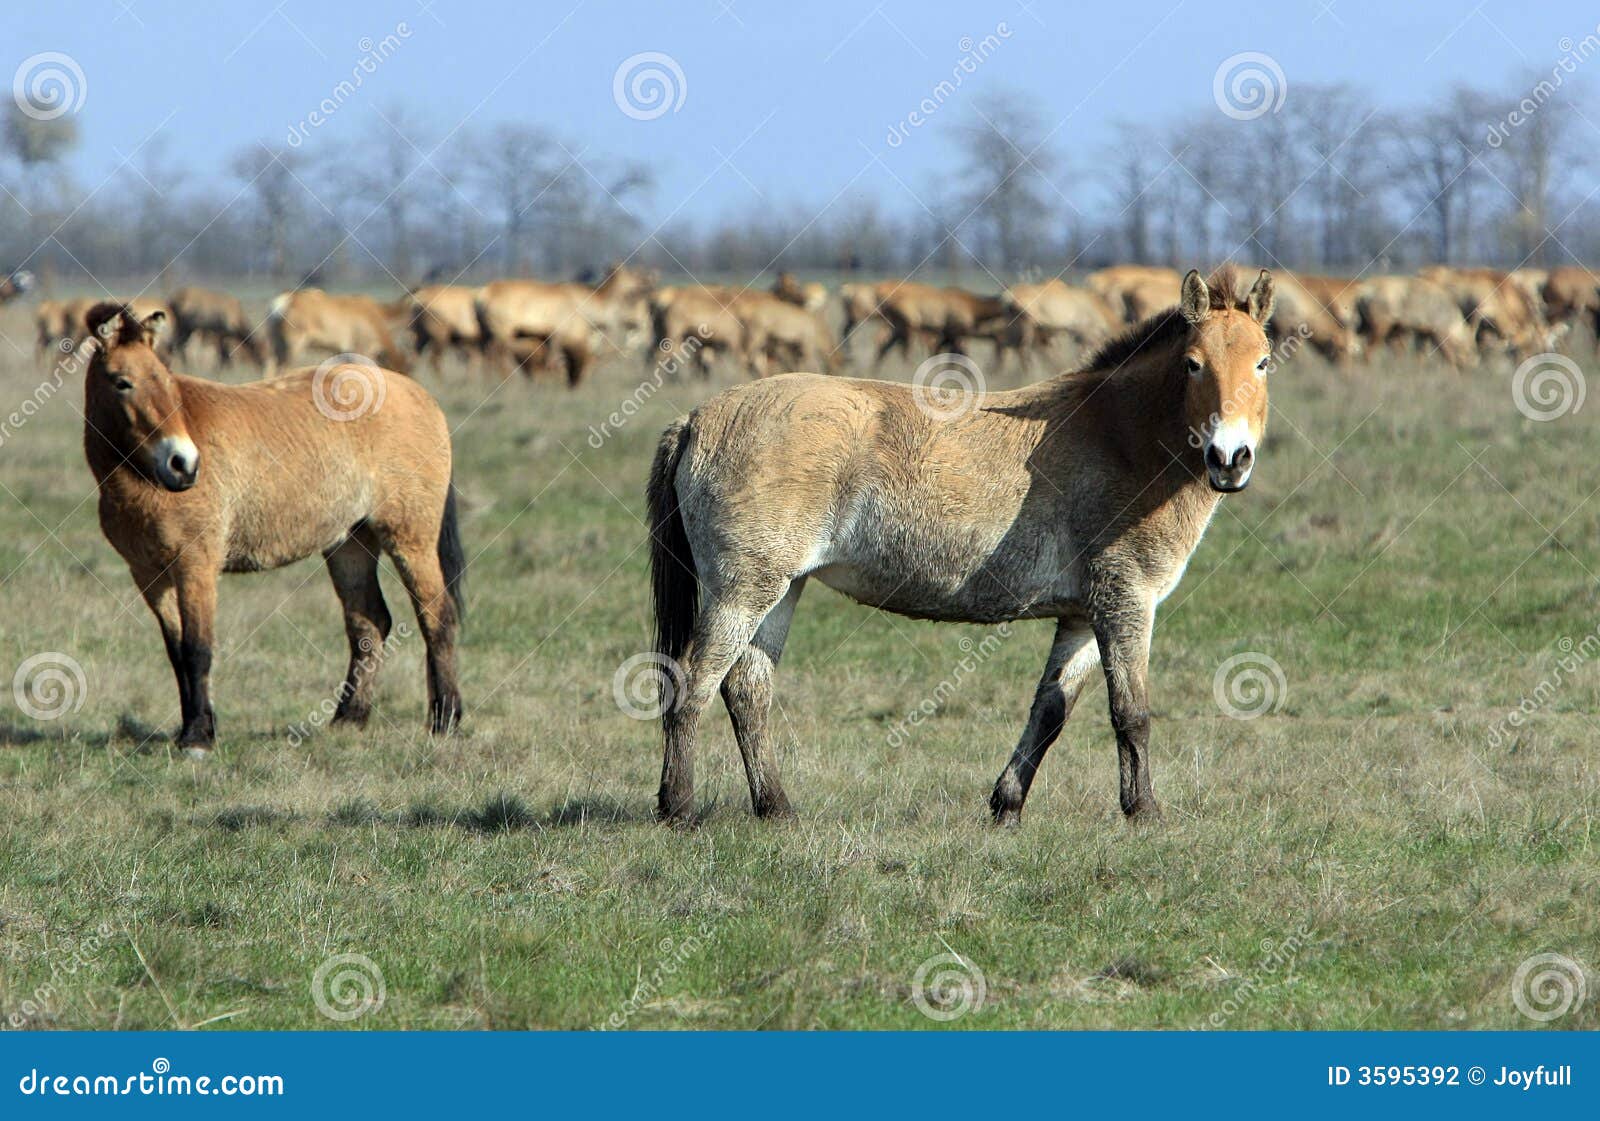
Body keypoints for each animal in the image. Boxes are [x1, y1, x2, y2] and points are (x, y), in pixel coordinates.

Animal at [81, 302, 465, 753]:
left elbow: (197, 648)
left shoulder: (197, 565)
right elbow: (176, 652)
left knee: (436, 616)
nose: (183, 464)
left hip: (410, 539)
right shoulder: (149, 575)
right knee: (369, 623)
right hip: (351, 543)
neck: (143, 479)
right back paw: (348, 719)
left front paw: (198, 738)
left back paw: (445, 719)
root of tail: (421, 396)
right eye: (122, 382)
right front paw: (192, 727)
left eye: (166, 377)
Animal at [645, 266, 1276, 825]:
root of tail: (697, 419)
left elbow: (1051, 711)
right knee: (692, 687)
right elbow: (1131, 711)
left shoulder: (1081, 615)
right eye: (1193, 364)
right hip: (743, 590)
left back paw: (775, 808)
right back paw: (679, 809)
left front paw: (1007, 806)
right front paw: (1144, 811)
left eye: (1264, 361)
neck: (1122, 435)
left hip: (782, 588)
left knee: (747, 691)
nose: (1229, 457)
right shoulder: (1127, 601)